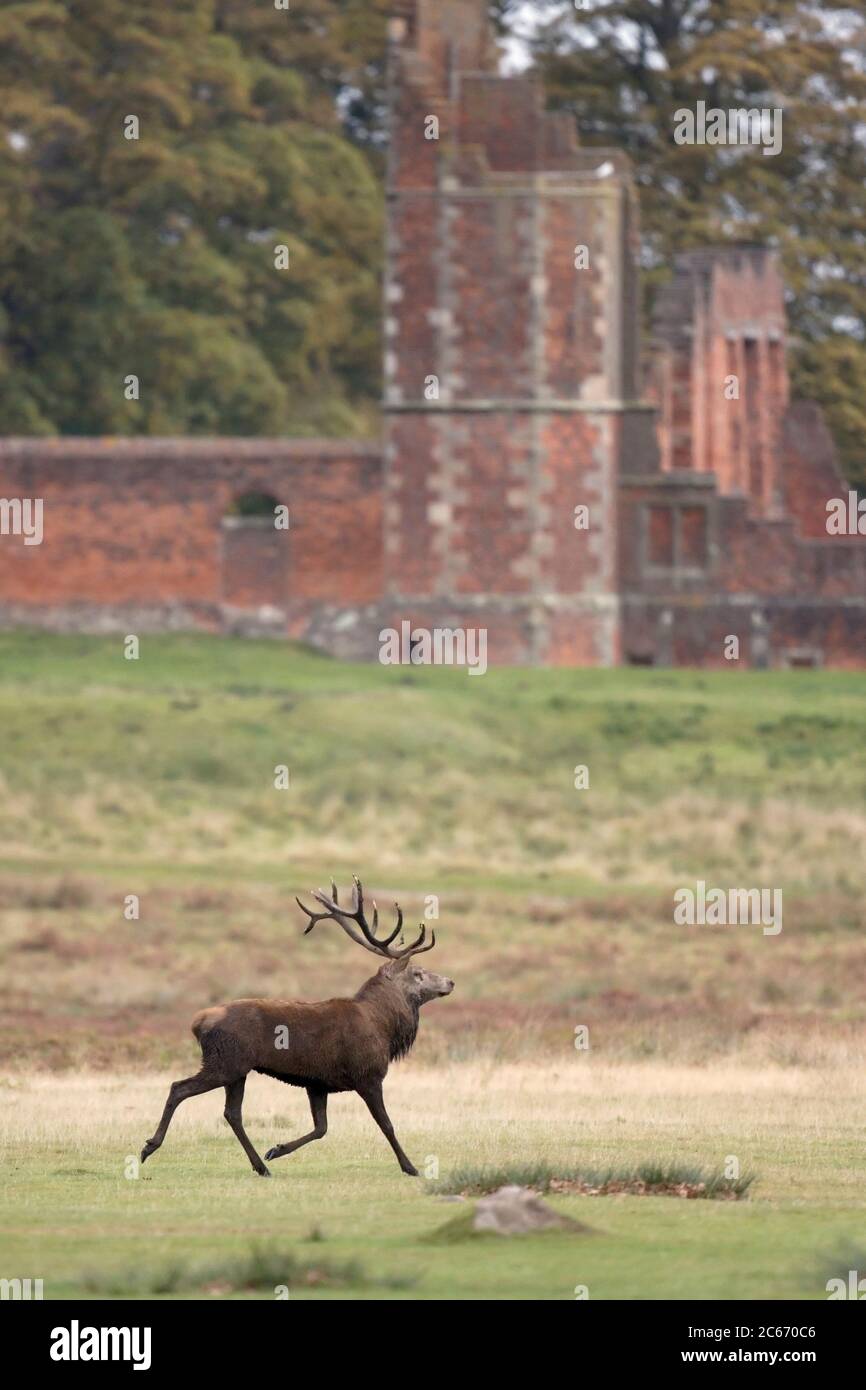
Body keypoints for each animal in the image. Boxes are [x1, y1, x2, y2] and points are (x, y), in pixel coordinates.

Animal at [139, 876, 454, 1177]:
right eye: (418, 973)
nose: (450, 982)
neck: (385, 1029)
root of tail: (198, 1023)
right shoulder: (368, 1075)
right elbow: (386, 1124)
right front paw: (410, 1167)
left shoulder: (318, 1083)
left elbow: (321, 1128)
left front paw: (276, 1150)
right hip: (225, 1062)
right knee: (179, 1088)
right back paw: (149, 1147)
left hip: (237, 1070)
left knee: (232, 1113)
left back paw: (261, 1166)